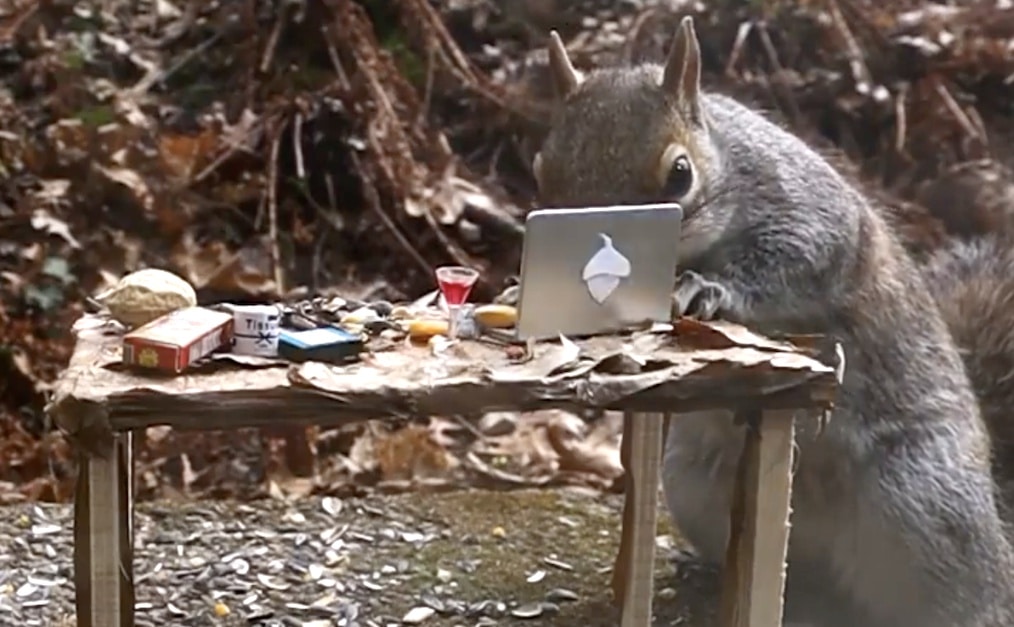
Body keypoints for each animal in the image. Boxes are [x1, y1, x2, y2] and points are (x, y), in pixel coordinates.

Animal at [516, 16, 1014, 627]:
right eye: (541, 171)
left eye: (680, 174)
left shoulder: (807, 213)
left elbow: (794, 257)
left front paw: (709, 288)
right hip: (696, 485)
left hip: (925, 501)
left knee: (968, 592)